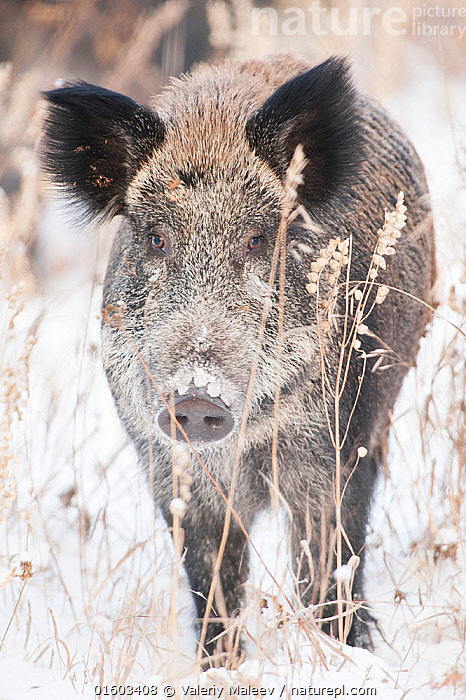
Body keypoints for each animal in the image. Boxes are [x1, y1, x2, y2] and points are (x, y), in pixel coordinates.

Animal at [40, 54, 435, 656]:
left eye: (256, 240)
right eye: (155, 239)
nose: (197, 399)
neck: (245, 444)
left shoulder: (338, 451)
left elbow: (329, 564)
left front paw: (347, 651)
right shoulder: (172, 469)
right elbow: (213, 579)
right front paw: (218, 665)